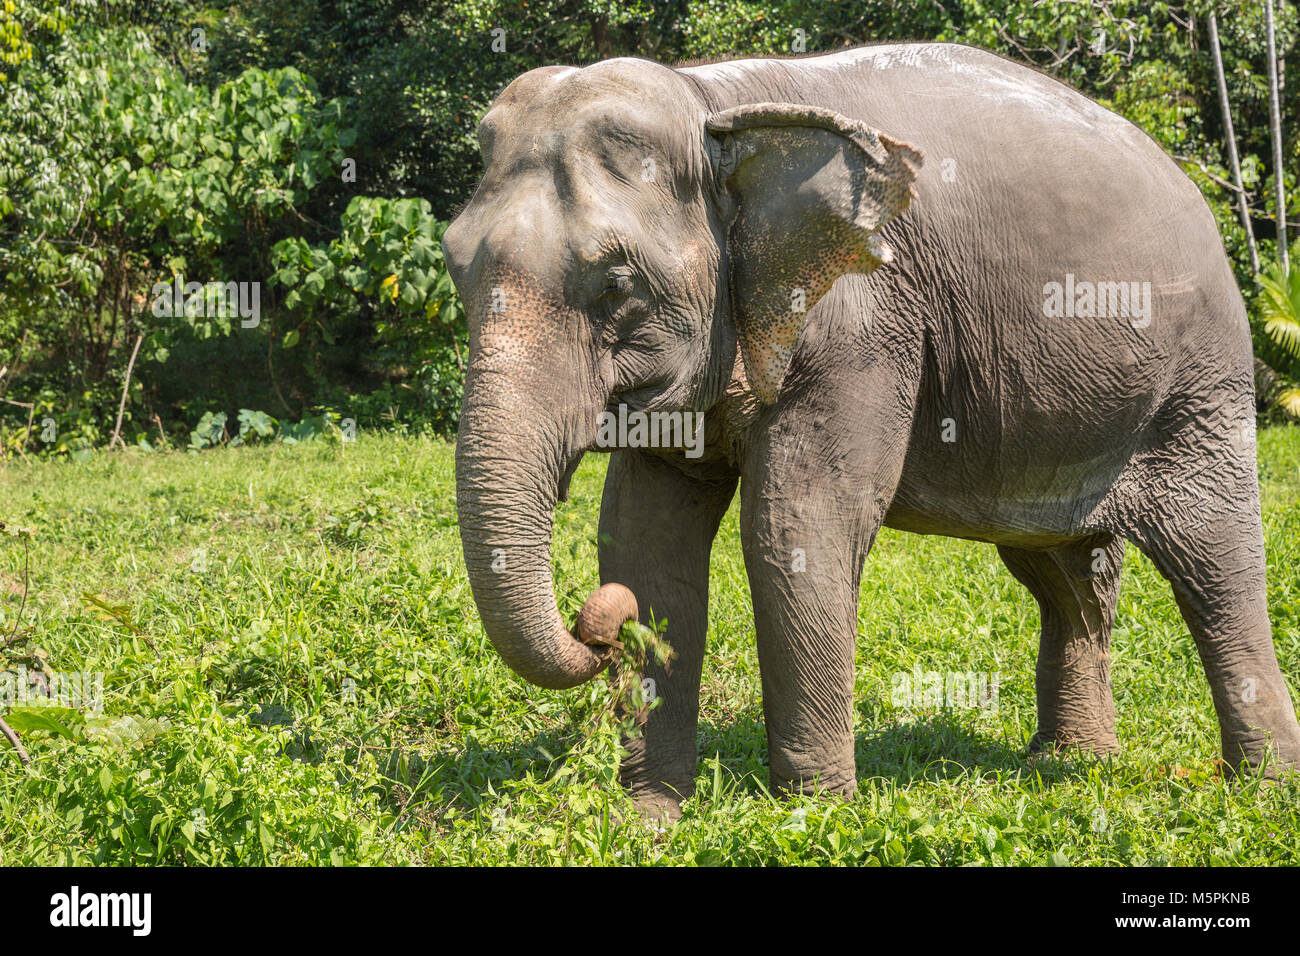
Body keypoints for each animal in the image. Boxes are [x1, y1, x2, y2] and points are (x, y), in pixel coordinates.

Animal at [442, 41, 1300, 820]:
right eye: (454, 267)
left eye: (618, 283)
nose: (603, 624)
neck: (710, 103)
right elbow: (645, 535)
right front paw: (648, 818)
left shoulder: (863, 321)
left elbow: (794, 525)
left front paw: (811, 816)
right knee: (1063, 570)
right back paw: (1073, 764)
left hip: (1199, 385)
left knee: (1213, 561)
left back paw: (1262, 788)